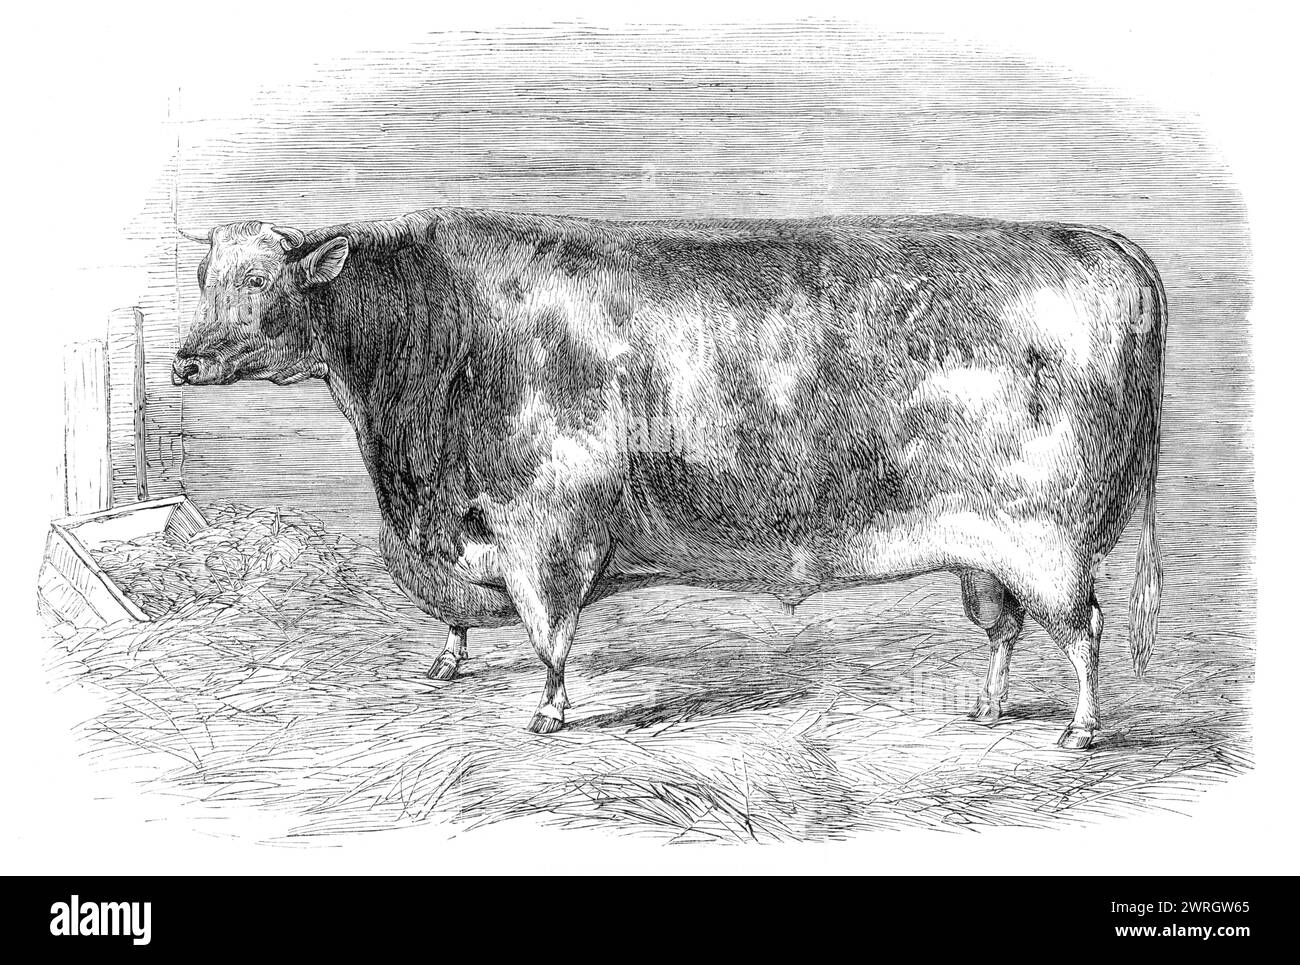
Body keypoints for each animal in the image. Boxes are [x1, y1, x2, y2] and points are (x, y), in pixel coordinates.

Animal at [173, 208, 1165, 749]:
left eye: (261, 283)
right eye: (203, 276)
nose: (183, 359)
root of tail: (1107, 249)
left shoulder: (546, 523)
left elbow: (549, 631)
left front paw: (548, 712)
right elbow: (462, 612)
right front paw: (447, 661)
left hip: (1047, 537)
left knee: (1084, 627)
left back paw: (1079, 730)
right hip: (985, 552)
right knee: (1005, 628)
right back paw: (990, 709)